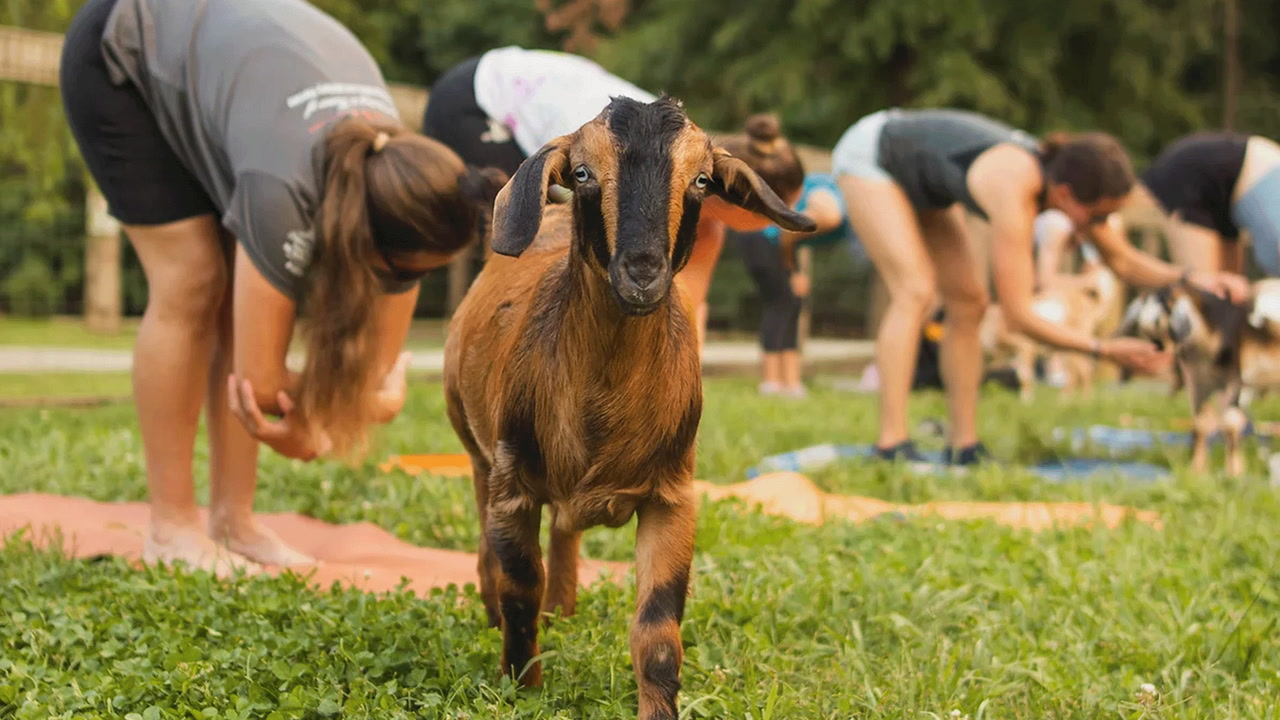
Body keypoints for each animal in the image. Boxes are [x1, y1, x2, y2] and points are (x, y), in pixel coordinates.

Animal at [442, 95, 814, 719]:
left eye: (702, 180)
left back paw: (563, 610)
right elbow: (519, 587)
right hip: (475, 451)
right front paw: (521, 686)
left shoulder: (673, 495)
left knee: (563, 536)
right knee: (490, 549)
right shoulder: (512, 483)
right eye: (582, 173)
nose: (642, 272)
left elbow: (658, 630)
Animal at [1121, 279, 1280, 476]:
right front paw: (1196, 471)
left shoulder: (1235, 382)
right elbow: (1201, 424)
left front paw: (1234, 473)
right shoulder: (1199, 382)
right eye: (1147, 332)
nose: (1159, 352)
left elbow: (1231, 425)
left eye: (1165, 324)